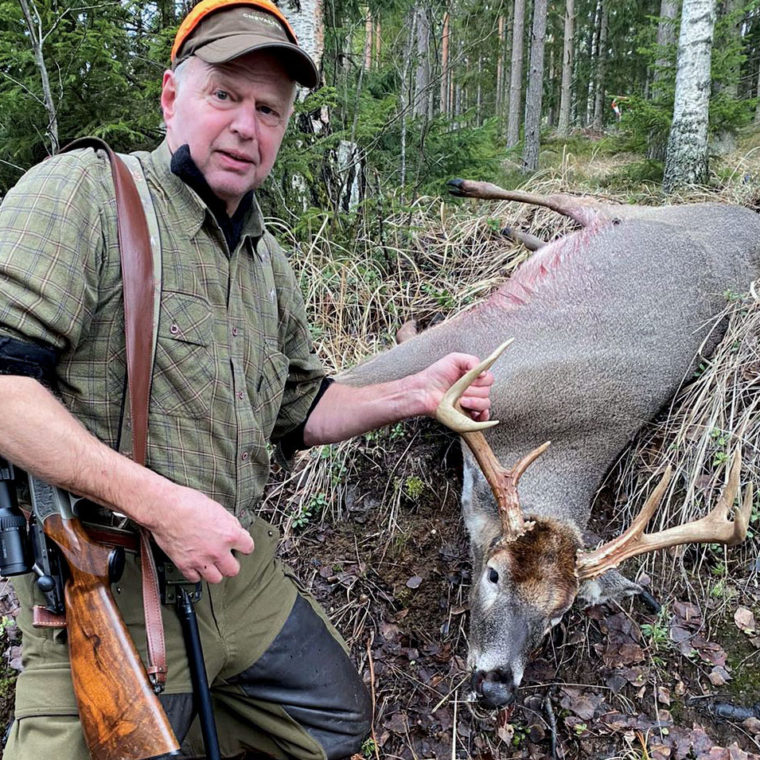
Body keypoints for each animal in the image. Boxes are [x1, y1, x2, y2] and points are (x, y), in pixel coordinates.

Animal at [339, 180, 759, 707]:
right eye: (493, 573)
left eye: (560, 613)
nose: (496, 686)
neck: (536, 435)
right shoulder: (469, 341)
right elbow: (348, 378)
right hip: (630, 212)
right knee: (572, 200)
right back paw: (471, 195)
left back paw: (511, 230)